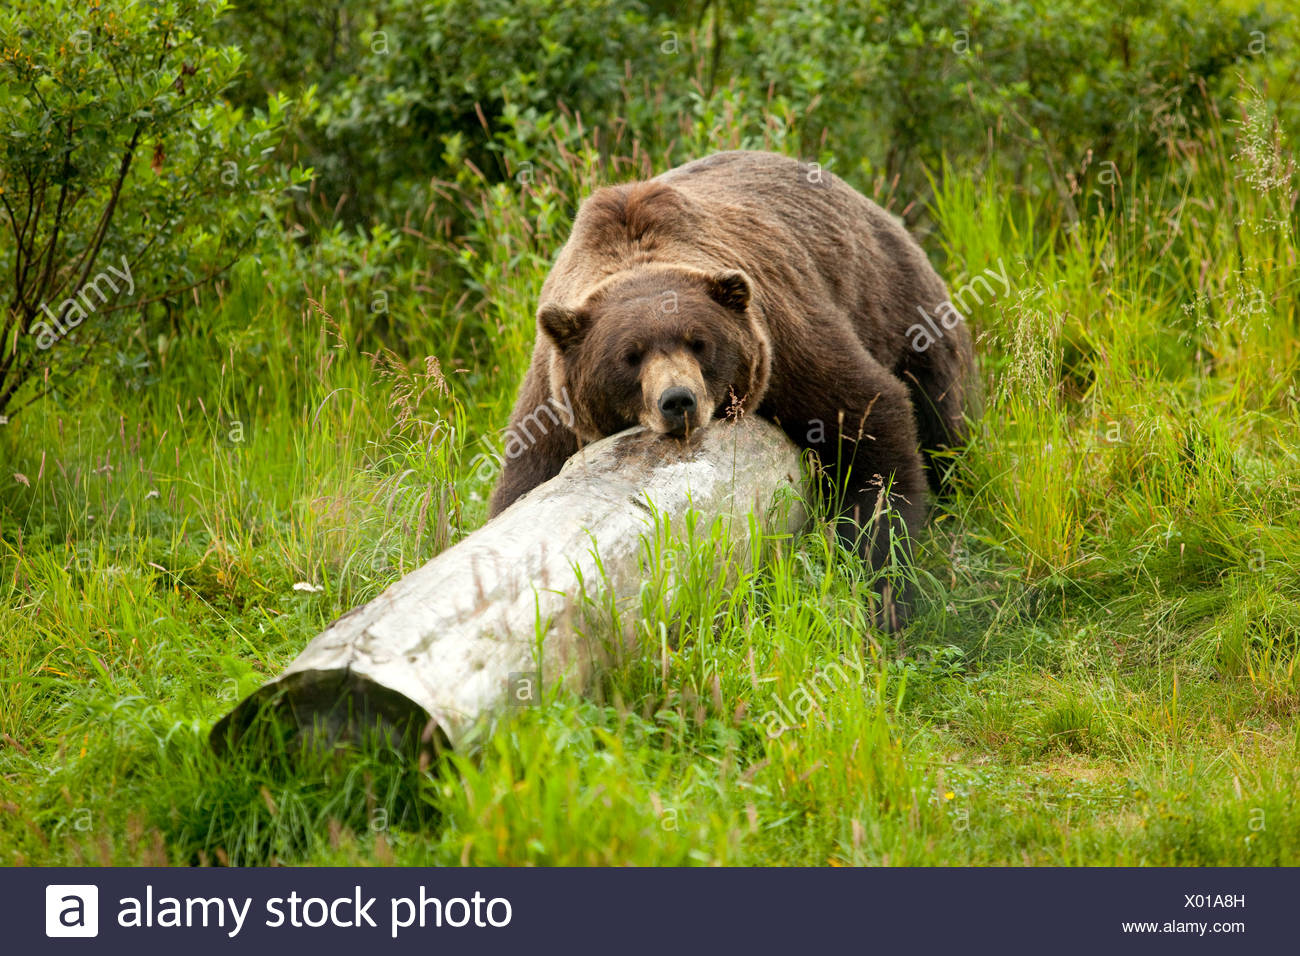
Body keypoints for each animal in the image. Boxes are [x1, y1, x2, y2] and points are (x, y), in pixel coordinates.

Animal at [489, 150, 974, 629]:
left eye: (698, 342)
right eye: (630, 356)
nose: (677, 400)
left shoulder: (787, 344)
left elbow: (869, 421)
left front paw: (882, 587)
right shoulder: (552, 405)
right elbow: (520, 484)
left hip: (900, 307)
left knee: (943, 414)